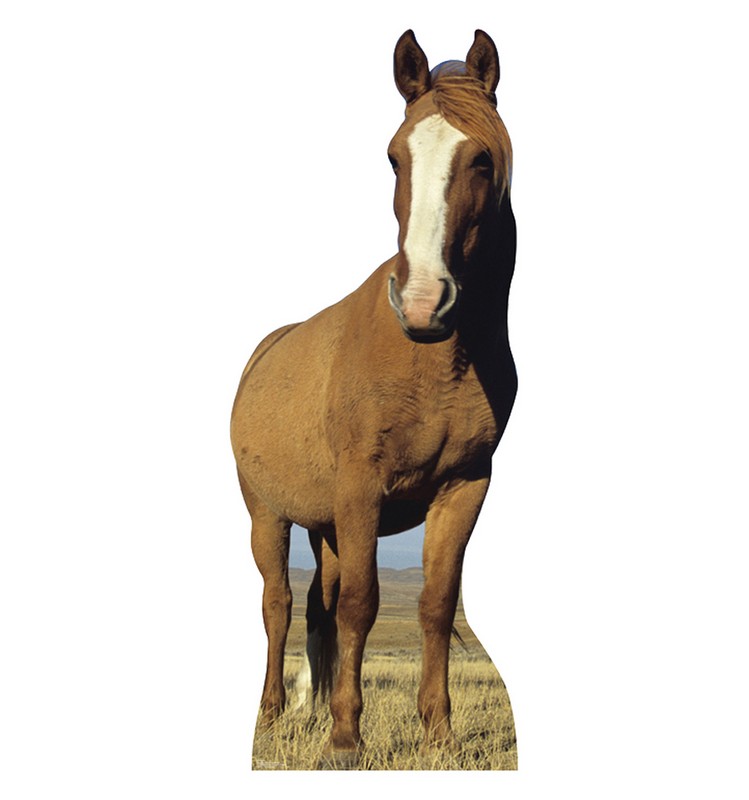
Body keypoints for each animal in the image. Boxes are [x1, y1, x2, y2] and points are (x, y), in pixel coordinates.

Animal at [231, 29, 517, 768]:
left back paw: (307, 711)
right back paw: (273, 715)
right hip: (268, 514)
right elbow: (362, 602)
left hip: (325, 523)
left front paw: (439, 733)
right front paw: (345, 737)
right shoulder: (363, 486)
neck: (433, 360)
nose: (421, 301)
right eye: (394, 157)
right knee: (277, 603)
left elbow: (436, 605)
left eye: (481, 158)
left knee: (315, 606)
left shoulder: (464, 486)